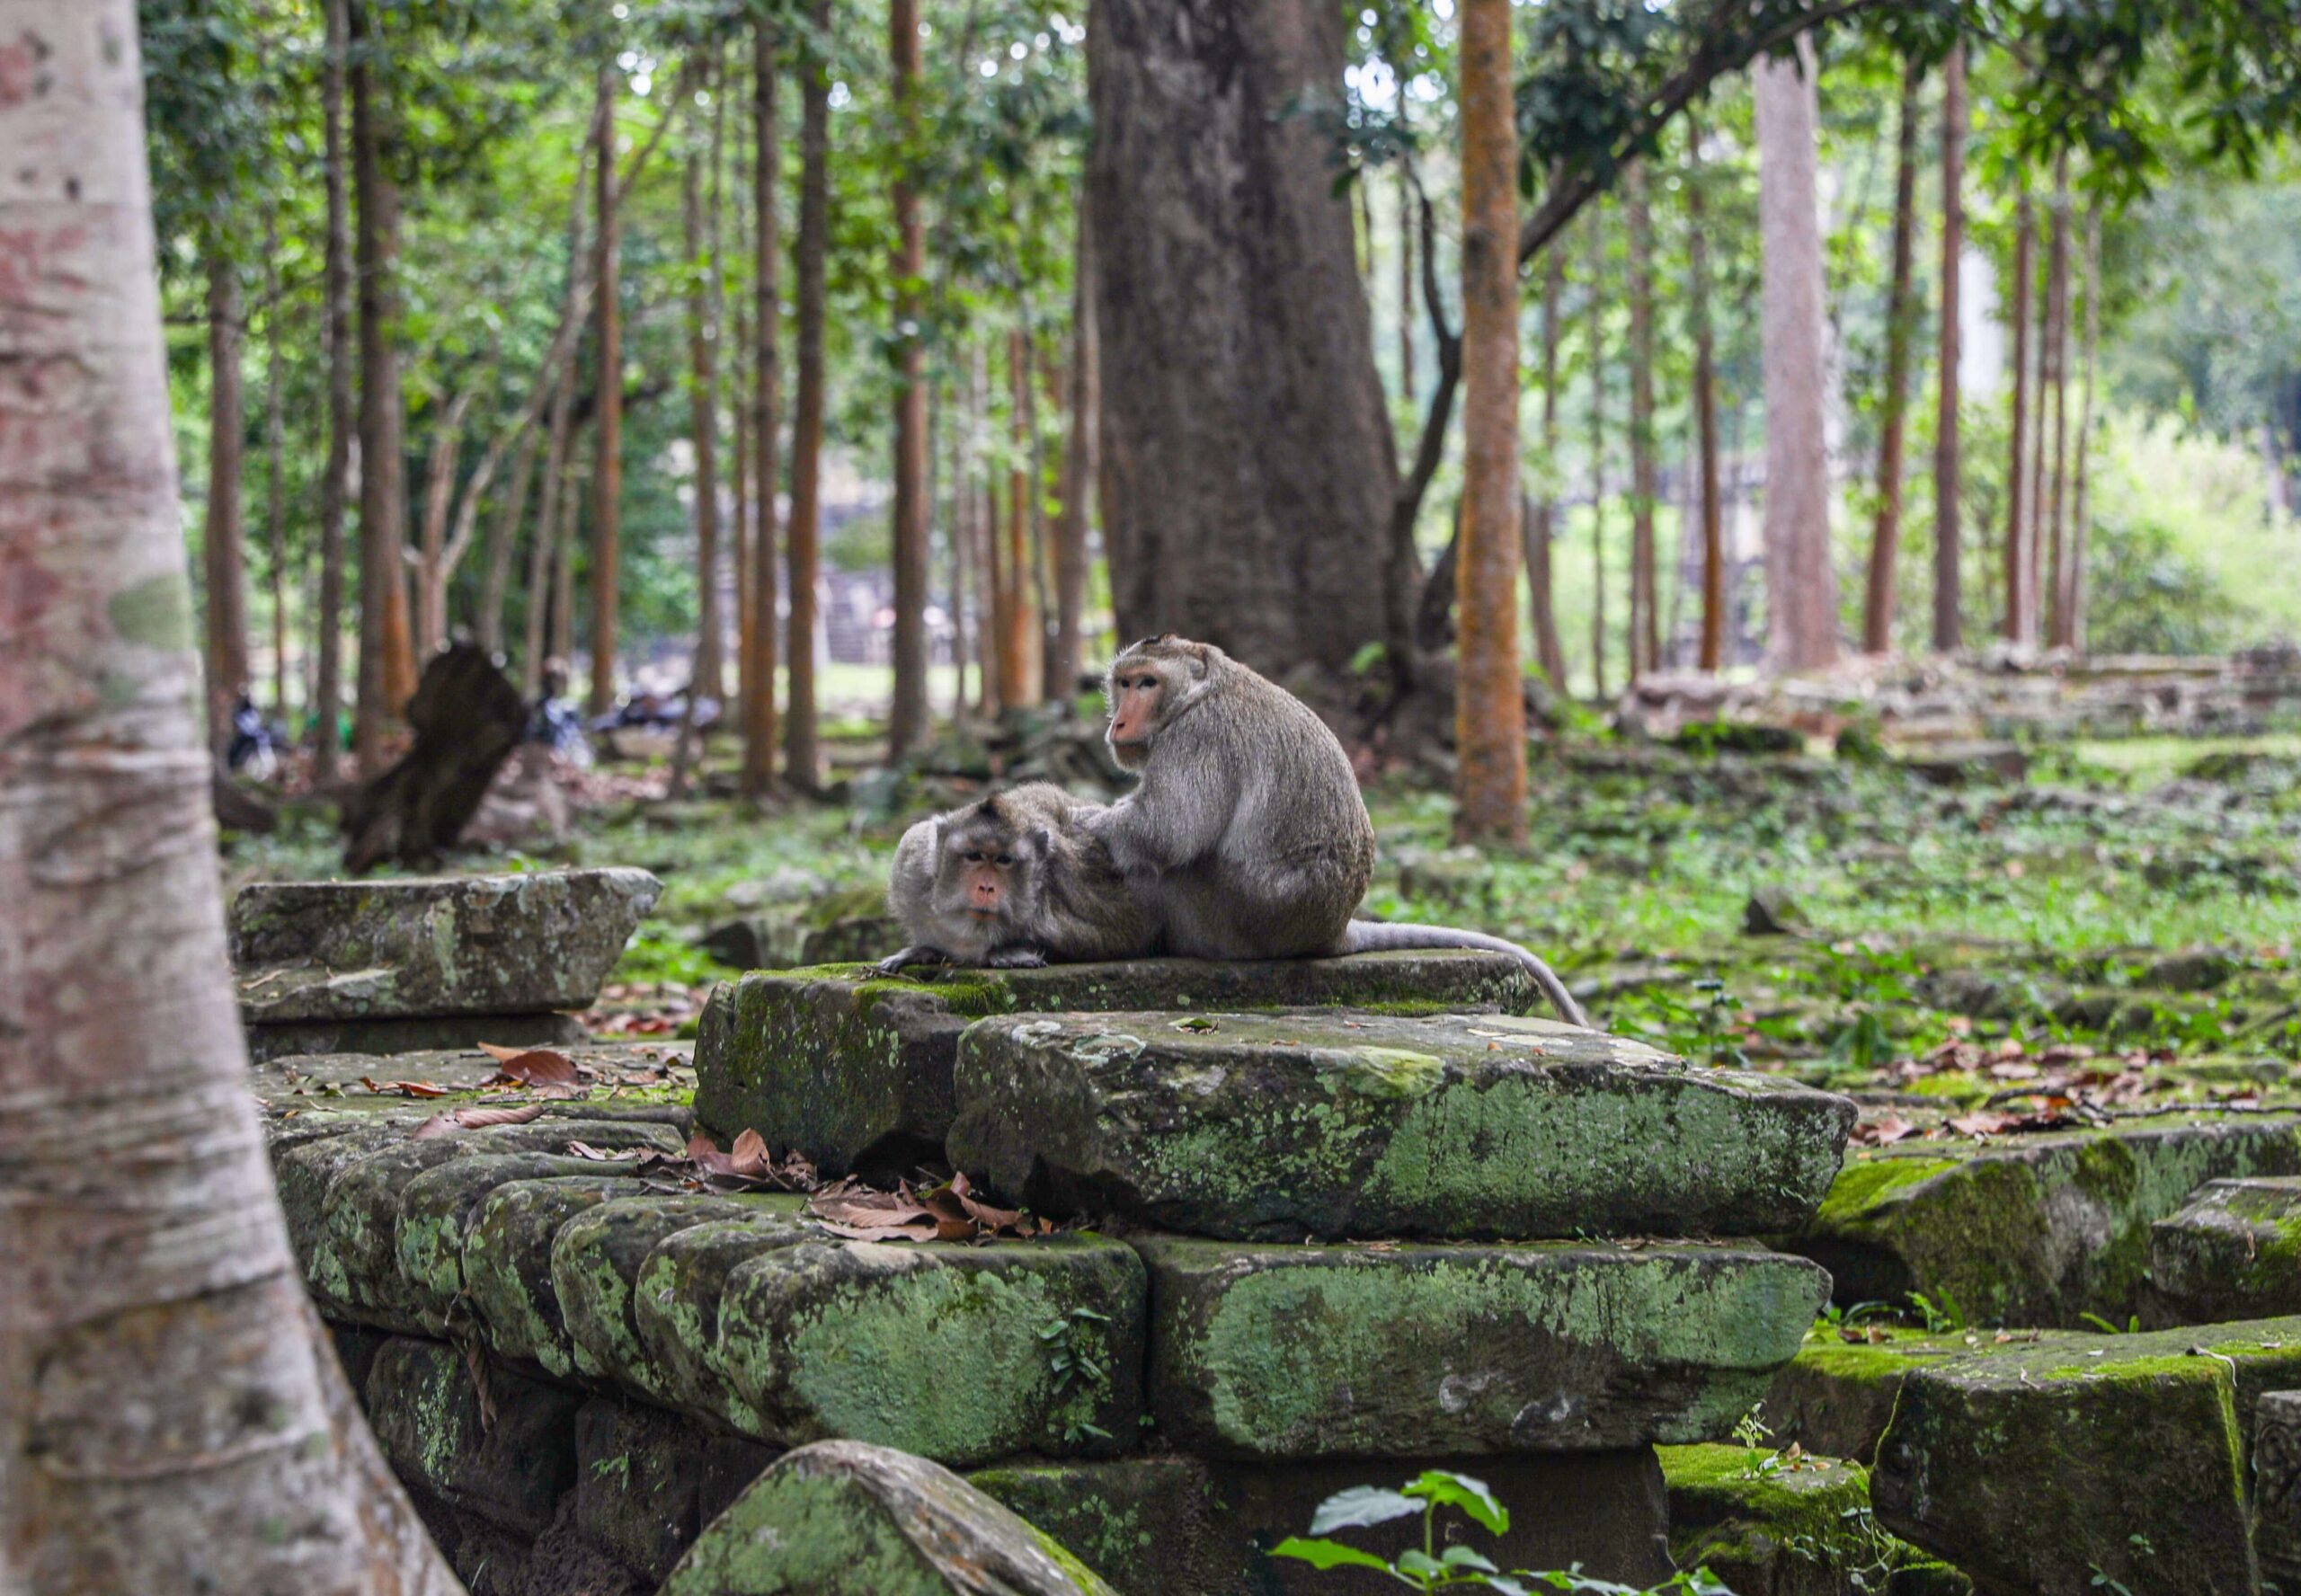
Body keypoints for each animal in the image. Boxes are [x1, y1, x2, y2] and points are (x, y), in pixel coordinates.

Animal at [877, 783, 1158, 975]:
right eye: (974, 856)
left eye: (1004, 860)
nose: (986, 887)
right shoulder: (911, 867)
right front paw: (925, 950)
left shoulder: (1075, 889)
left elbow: (1126, 933)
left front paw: (1006, 952)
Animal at [1093, 635, 1592, 1027]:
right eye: (1124, 683)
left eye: (1148, 683)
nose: (1118, 721)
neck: (1197, 694)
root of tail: (1333, 932)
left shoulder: (1197, 737)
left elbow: (1166, 833)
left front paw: (1094, 822)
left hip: (1236, 916)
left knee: (1169, 868)